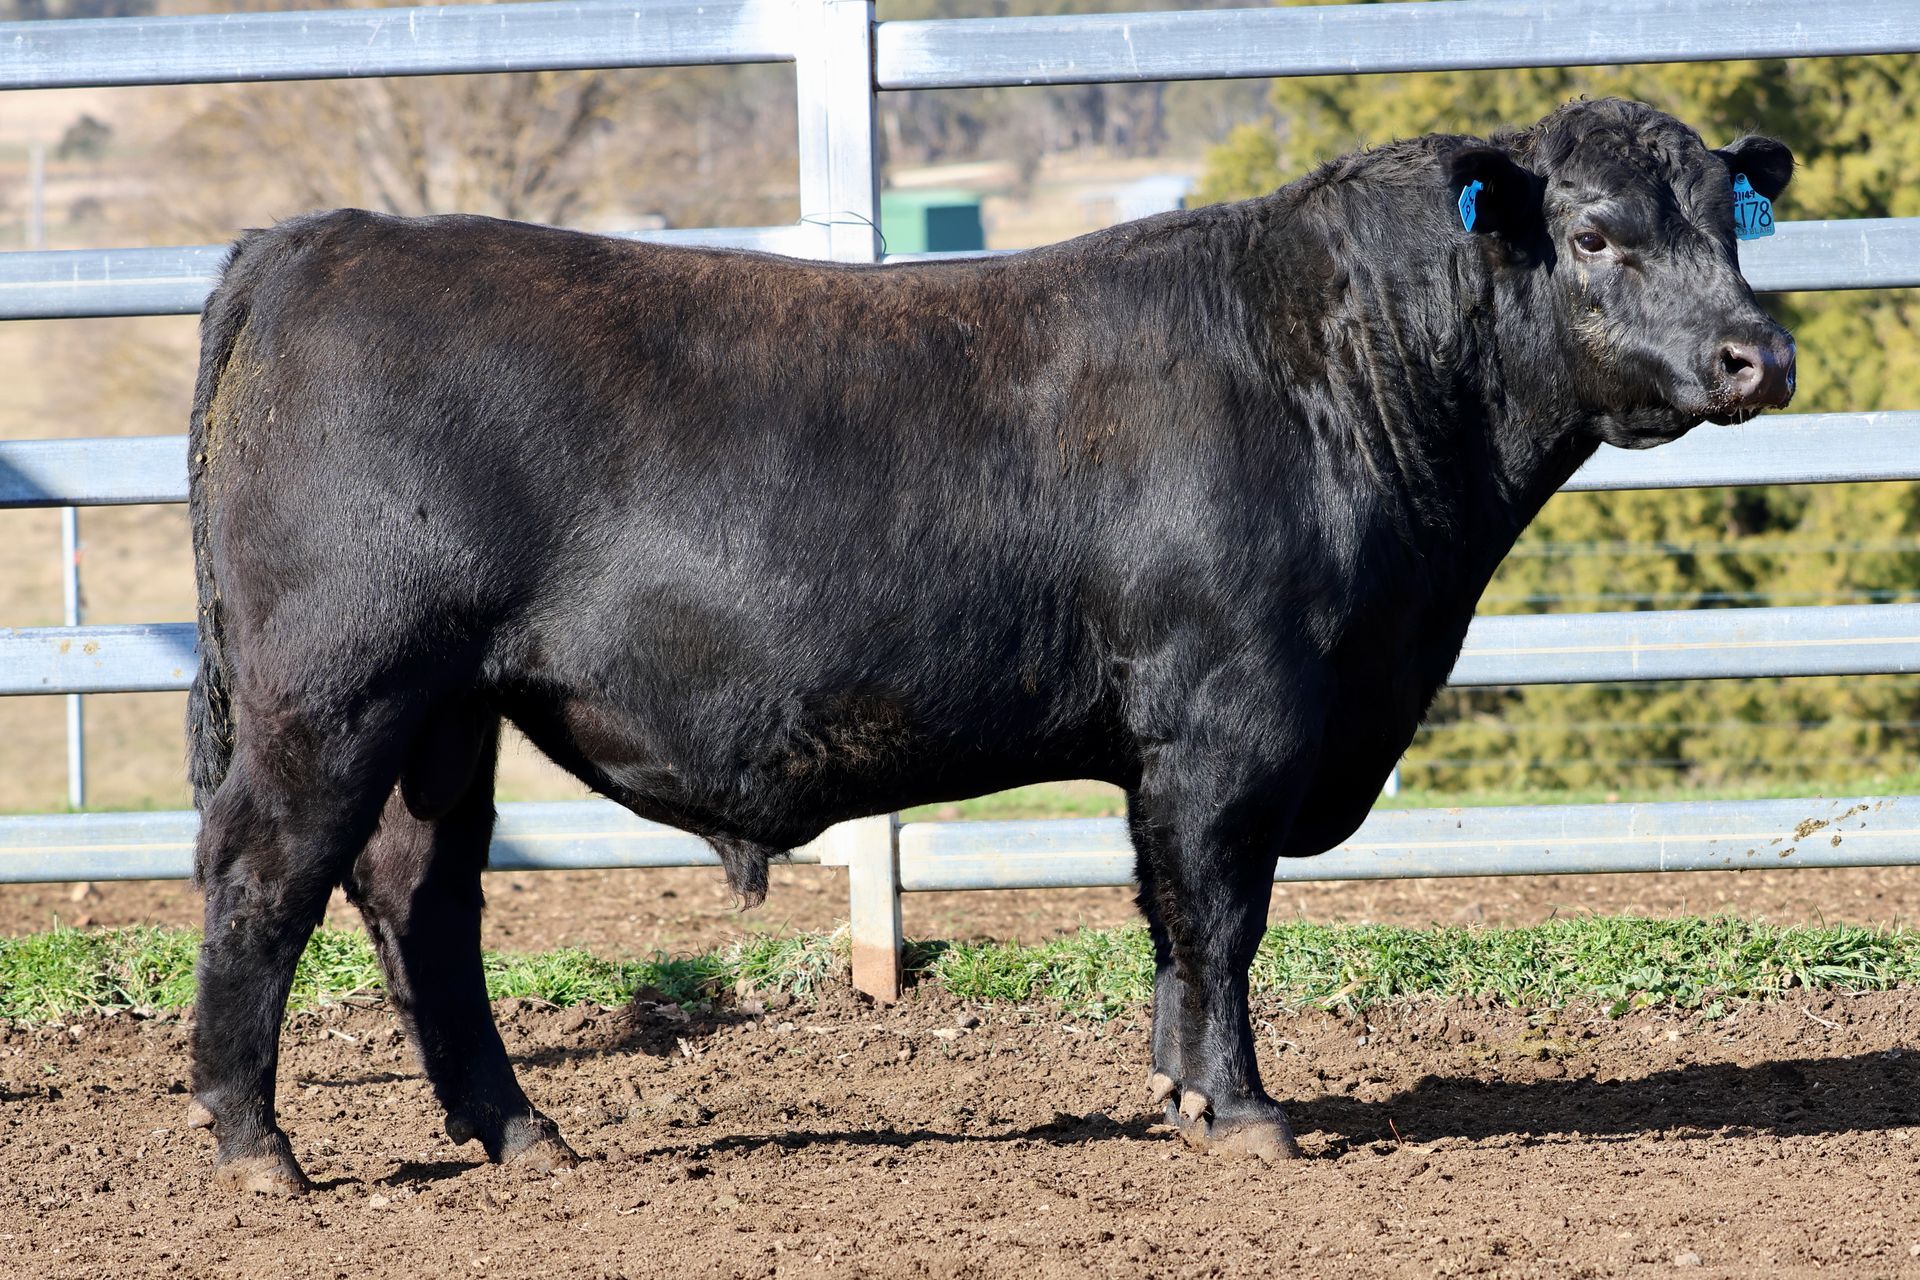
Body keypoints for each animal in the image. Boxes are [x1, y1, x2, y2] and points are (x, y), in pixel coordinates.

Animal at [182, 98, 1795, 1193]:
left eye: (1728, 223)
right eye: (1593, 234)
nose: (1758, 353)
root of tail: (315, 242)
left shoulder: (1184, 745)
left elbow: (1168, 924)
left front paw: (1179, 1096)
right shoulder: (1230, 722)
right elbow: (1221, 913)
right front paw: (1248, 1114)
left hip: (448, 716)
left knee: (420, 899)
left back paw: (521, 1130)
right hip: (335, 691)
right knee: (266, 879)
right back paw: (257, 1145)